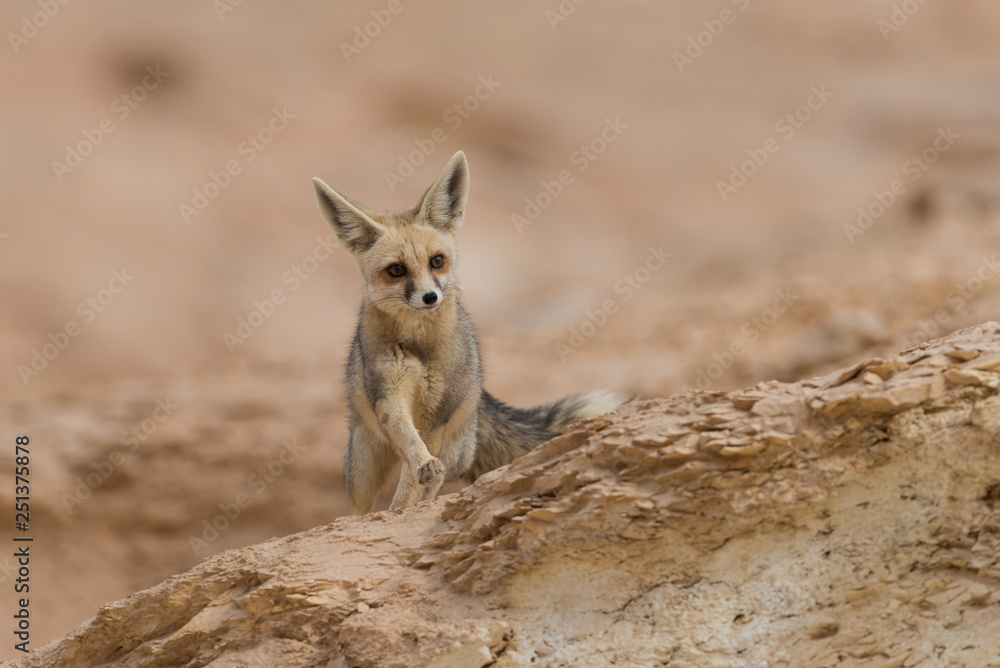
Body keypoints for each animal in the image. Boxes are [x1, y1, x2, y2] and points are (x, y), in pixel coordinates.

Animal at [312, 151, 628, 514]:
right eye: (396, 270)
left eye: (436, 261)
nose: (430, 297)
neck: (420, 344)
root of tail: (480, 400)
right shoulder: (389, 397)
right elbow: (411, 449)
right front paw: (401, 501)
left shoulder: (437, 412)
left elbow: (414, 479)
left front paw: (403, 506)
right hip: (362, 464)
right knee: (361, 504)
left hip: (453, 448)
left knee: (436, 483)